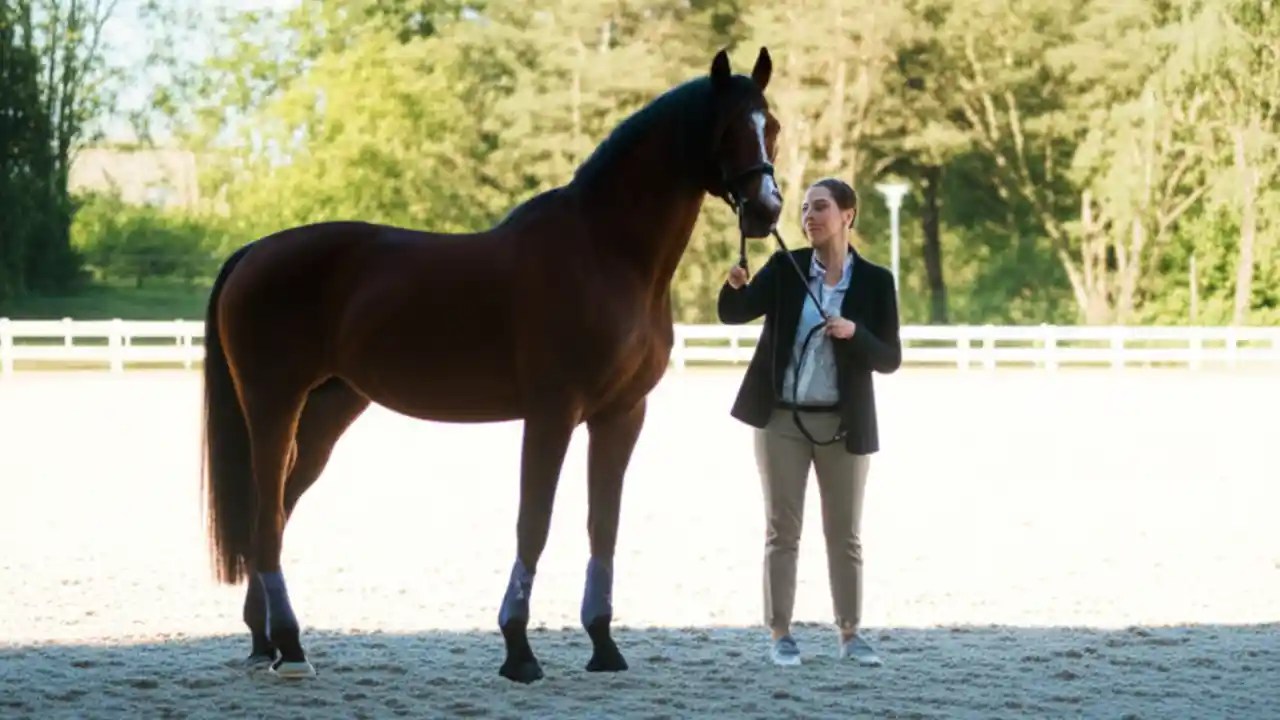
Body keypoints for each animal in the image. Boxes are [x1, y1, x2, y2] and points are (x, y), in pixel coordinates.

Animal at [199, 46, 783, 684]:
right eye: (726, 128)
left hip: (327, 412)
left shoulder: (622, 414)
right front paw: (518, 647)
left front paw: (603, 643)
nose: (767, 209)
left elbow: (602, 523)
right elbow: (535, 520)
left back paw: (266, 641)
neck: (606, 252)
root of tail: (254, 251)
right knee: (266, 519)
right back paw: (291, 644)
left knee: (275, 510)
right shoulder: (553, 413)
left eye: (772, 127)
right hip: (273, 404)